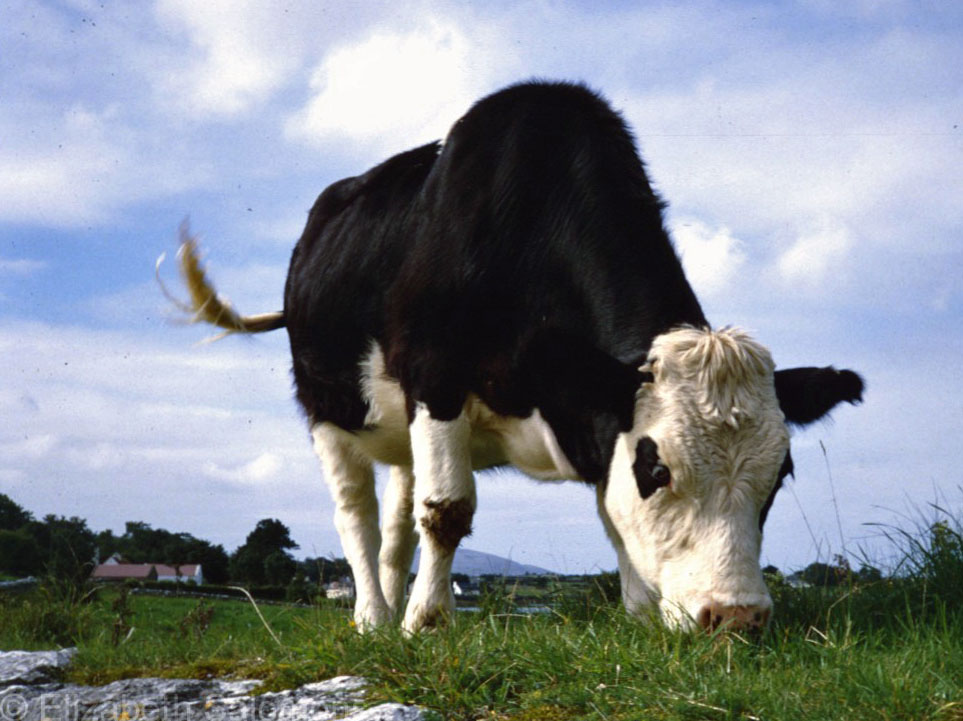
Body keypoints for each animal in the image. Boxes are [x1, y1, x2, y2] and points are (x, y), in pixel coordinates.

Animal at [171, 81, 863, 633]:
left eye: (783, 473)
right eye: (657, 468)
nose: (737, 617)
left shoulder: (591, 412)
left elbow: (610, 517)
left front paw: (640, 618)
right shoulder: (435, 375)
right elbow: (448, 511)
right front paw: (427, 625)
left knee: (396, 526)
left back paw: (389, 608)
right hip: (327, 409)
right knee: (357, 518)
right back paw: (374, 620)